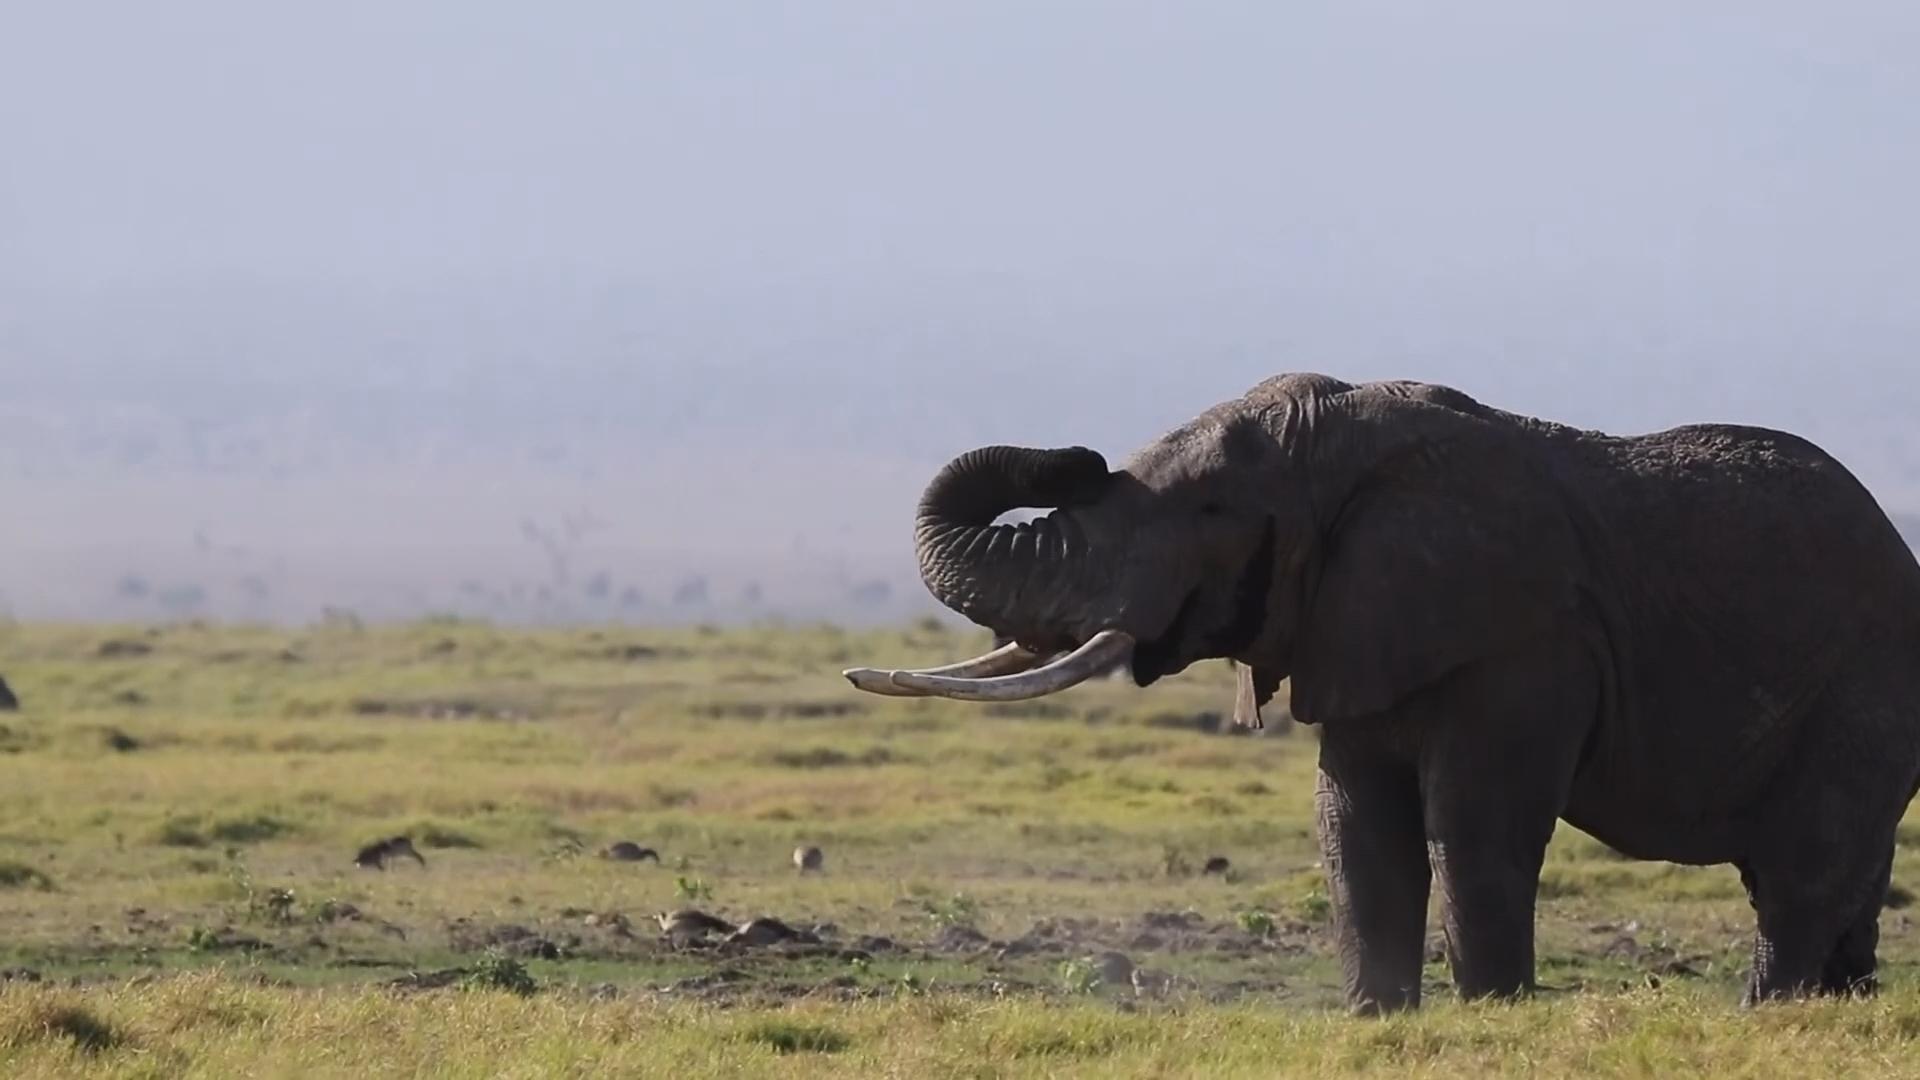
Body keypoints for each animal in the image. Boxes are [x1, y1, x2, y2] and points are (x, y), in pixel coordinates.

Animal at [844, 373, 1920, 1012]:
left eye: (1210, 512)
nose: (1074, 454)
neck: (1349, 450)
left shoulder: (1527, 639)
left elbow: (1472, 827)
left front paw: (1493, 1015)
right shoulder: (1355, 629)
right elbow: (1355, 823)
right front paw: (1376, 1020)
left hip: (1864, 687)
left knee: (1805, 864)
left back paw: (1768, 1009)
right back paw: (1843, 1007)